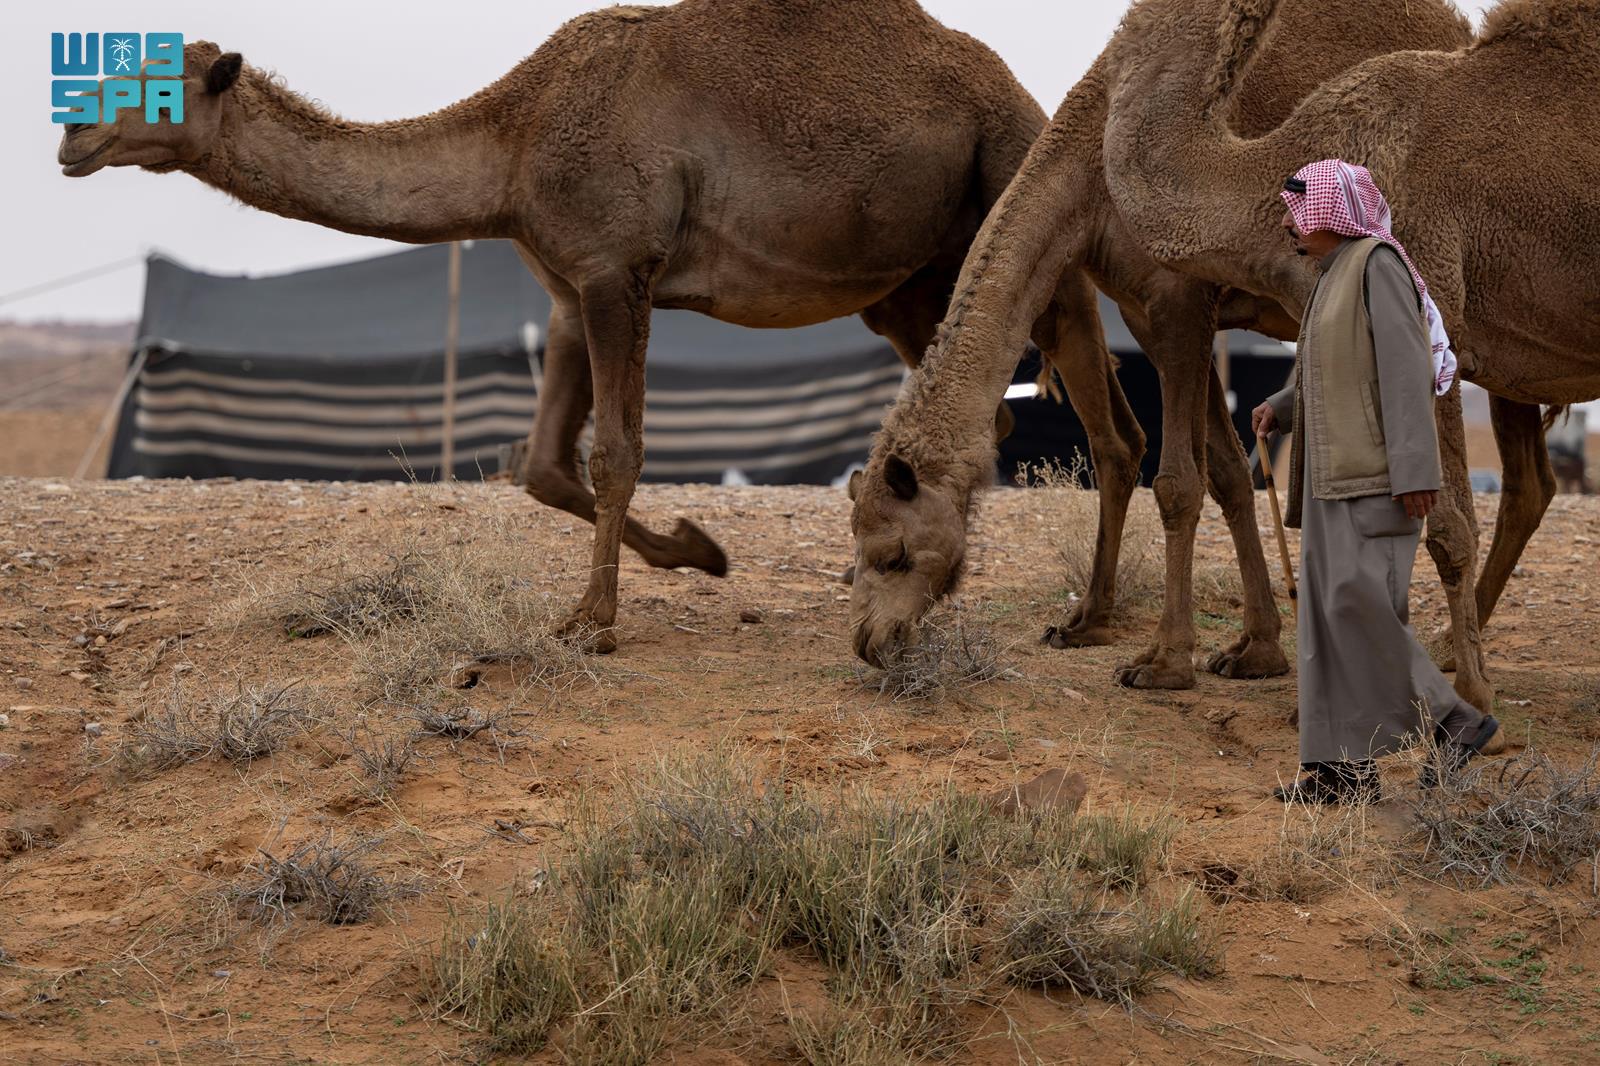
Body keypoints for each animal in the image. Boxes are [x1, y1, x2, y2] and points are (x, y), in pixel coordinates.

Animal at [56, 1, 1099, 652]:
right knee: (989, 409)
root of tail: (1017, 91)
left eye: (155, 88)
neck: (515, 144)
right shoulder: (563, 292)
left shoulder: (613, 271)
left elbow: (616, 453)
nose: (72, 136)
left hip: (1006, 171)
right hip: (907, 284)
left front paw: (592, 620)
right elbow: (543, 467)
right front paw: (698, 550)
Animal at [848, 0, 1470, 684]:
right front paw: (1255, 649)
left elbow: (1176, 484)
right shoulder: (1144, 310)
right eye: (856, 552)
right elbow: (1226, 473)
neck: (1091, 173)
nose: (869, 641)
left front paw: (1166, 661)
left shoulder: (1181, 298)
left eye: (895, 554)